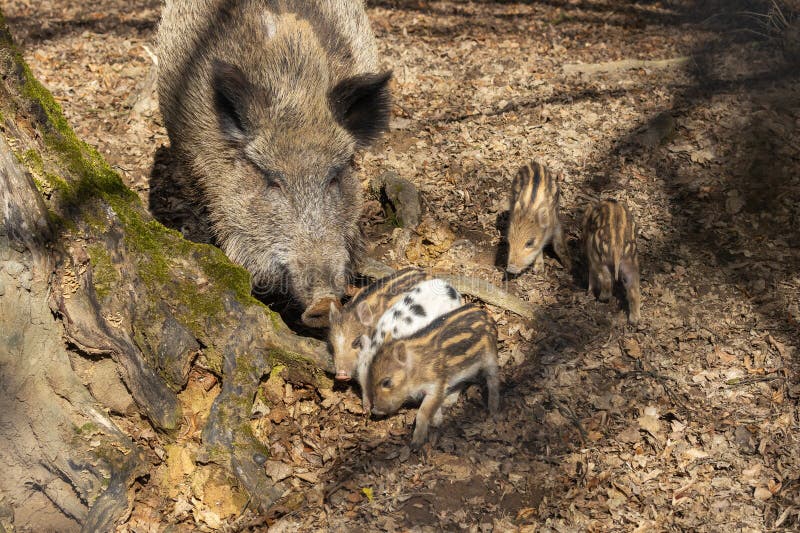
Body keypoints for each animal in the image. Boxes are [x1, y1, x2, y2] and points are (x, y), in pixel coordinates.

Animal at [368, 304, 500, 449]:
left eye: (386, 382)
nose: (374, 411)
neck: (415, 370)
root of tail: (488, 317)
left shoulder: (435, 385)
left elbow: (423, 412)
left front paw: (416, 443)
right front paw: (437, 422)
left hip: (490, 358)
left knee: (494, 381)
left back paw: (493, 412)